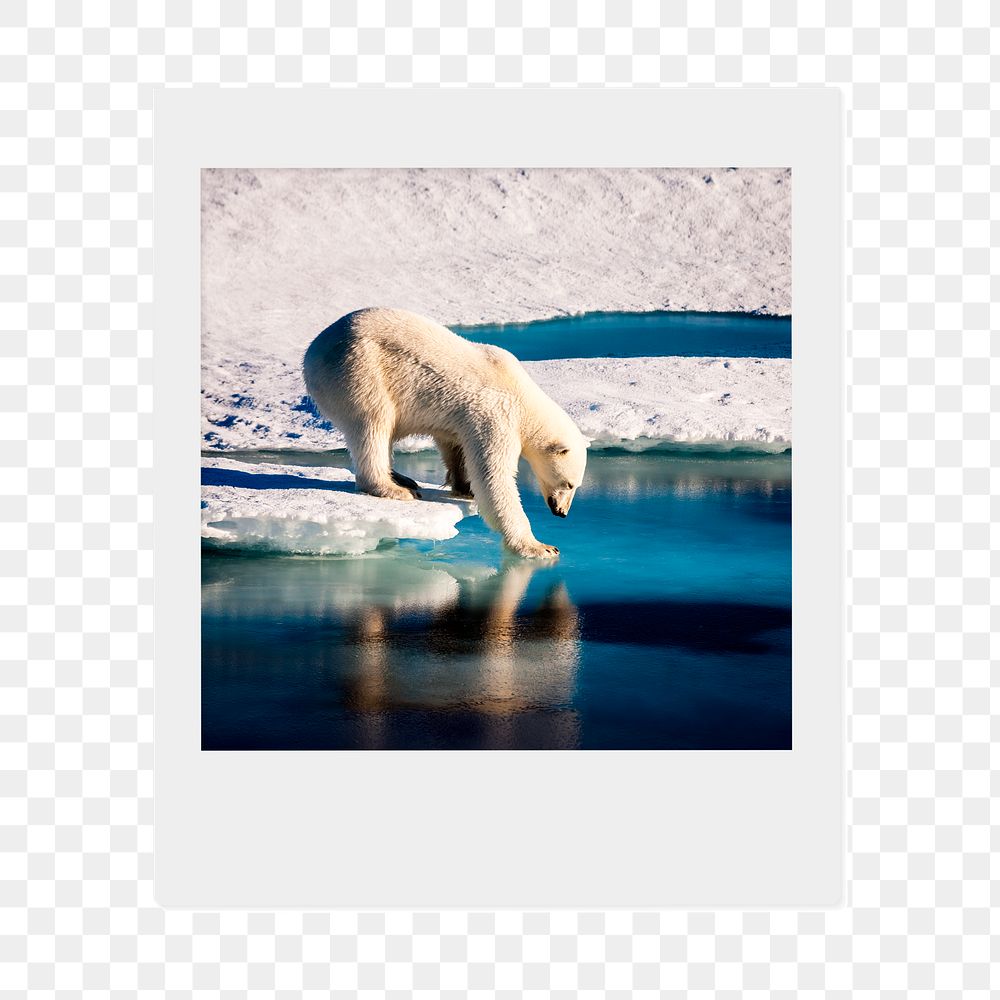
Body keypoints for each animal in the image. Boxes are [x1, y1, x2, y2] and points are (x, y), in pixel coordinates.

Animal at [303, 307, 588, 558]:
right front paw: (540, 547)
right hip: (359, 370)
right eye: (569, 484)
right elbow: (494, 477)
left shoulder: (464, 418)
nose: (561, 512)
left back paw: (402, 478)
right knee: (373, 423)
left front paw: (464, 487)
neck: (522, 396)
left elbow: (455, 445)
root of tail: (313, 350)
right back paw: (394, 488)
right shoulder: (496, 415)